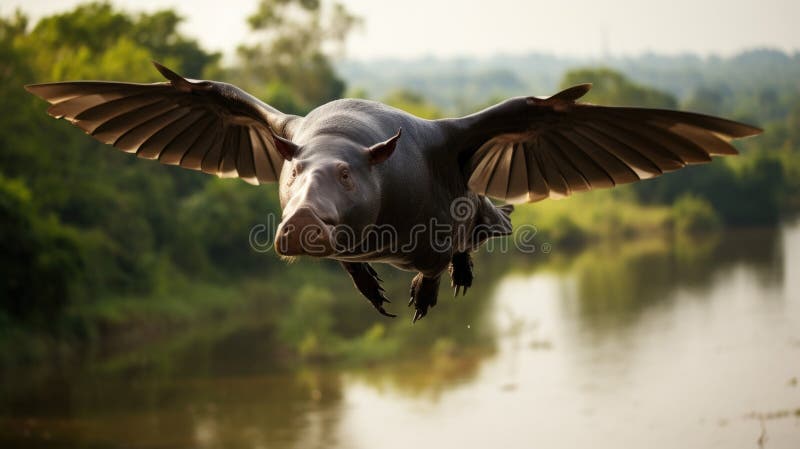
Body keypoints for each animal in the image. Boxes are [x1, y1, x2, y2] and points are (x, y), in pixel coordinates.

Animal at [26, 62, 761, 322]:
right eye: (290, 171)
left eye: (349, 175)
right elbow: (204, 89)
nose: (301, 223)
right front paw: (370, 285)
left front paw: (421, 294)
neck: (343, 140)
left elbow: (435, 255)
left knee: (463, 240)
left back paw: (443, 284)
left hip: (477, 207)